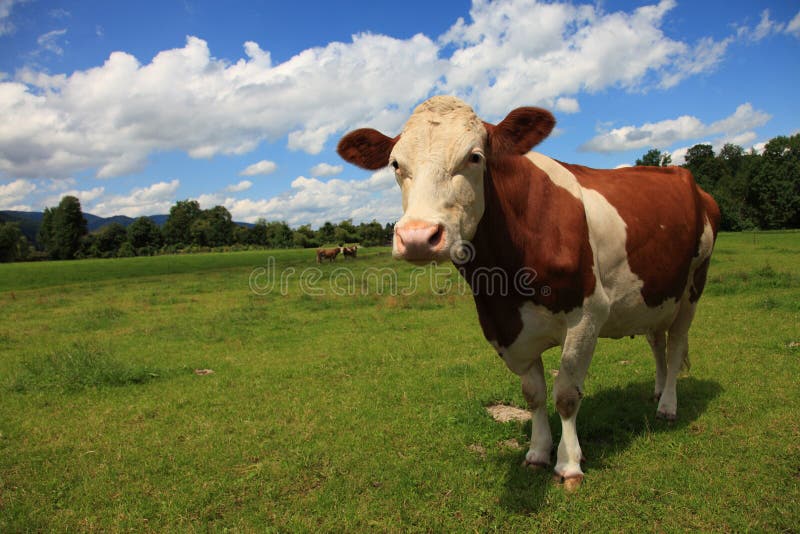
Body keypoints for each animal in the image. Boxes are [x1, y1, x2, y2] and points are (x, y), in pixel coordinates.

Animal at [337, 95, 720, 490]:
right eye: (396, 164)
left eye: (475, 156)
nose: (416, 237)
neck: (505, 280)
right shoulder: (502, 326)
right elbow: (533, 394)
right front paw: (537, 452)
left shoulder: (588, 315)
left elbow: (566, 395)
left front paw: (569, 463)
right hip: (656, 296)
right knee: (657, 342)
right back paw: (657, 390)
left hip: (693, 288)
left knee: (675, 347)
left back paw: (668, 406)